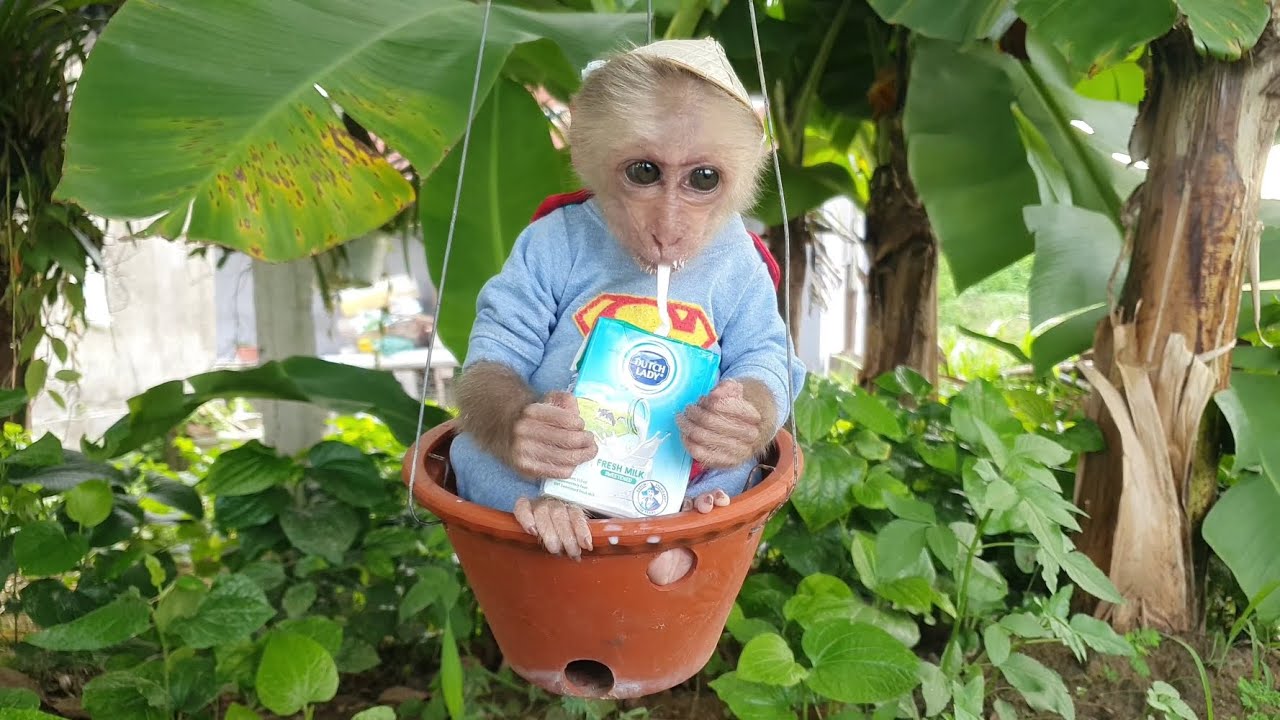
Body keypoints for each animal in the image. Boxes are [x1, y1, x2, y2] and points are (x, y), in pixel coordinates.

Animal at [447, 38, 805, 585]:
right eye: (644, 172)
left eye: (704, 178)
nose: (668, 232)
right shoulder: (538, 243)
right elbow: (502, 341)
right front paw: (539, 436)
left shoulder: (752, 267)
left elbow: (768, 350)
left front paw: (728, 426)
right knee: (470, 453)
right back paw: (550, 510)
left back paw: (703, 506)